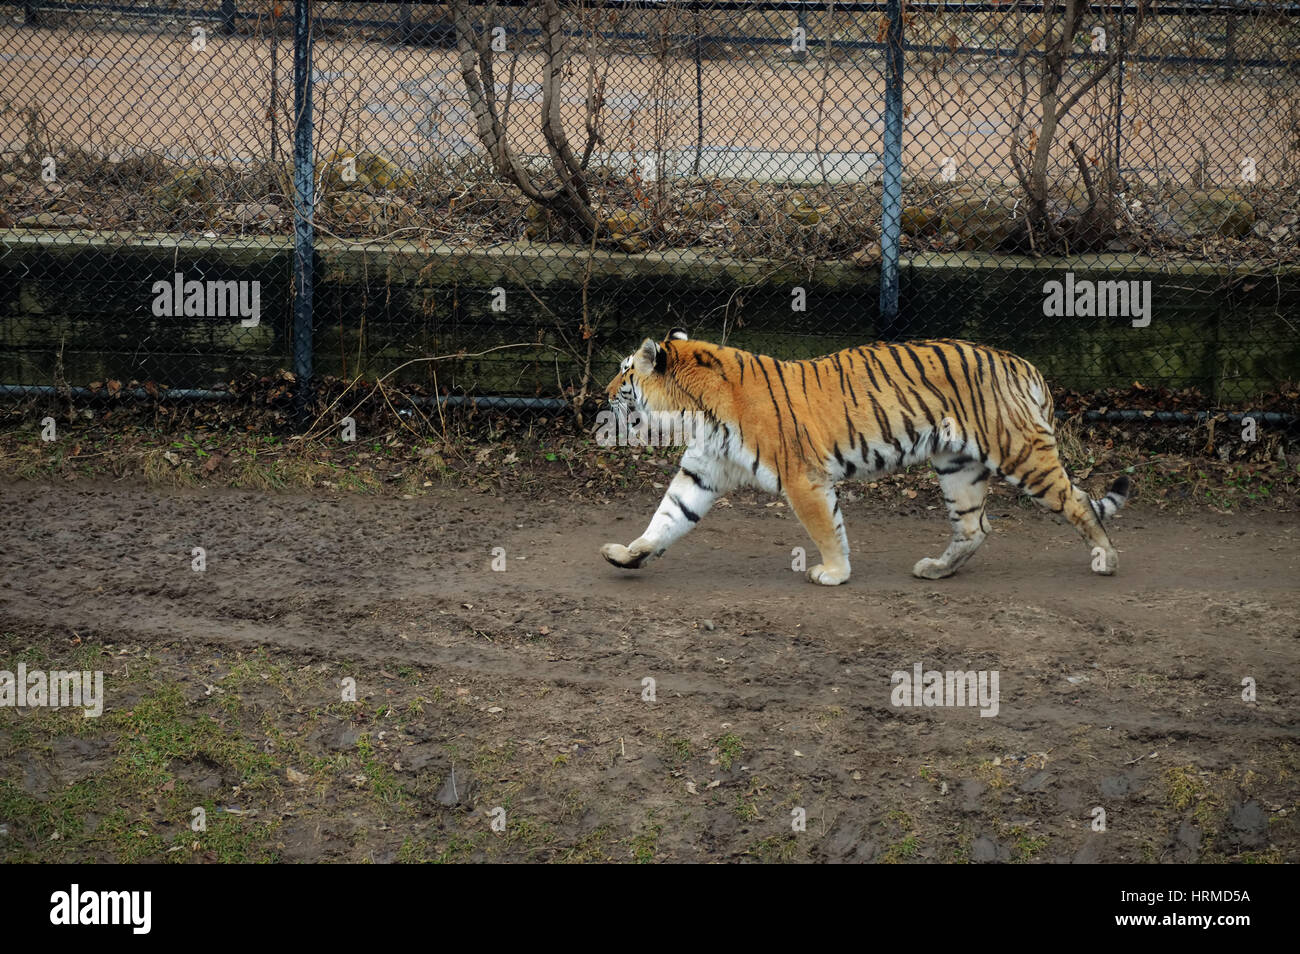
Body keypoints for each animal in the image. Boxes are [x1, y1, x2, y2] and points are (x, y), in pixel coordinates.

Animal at [600, 329, 1130, 585]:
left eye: (625, 372)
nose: (602, 394)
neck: (695, 413)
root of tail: (1026, 365)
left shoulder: (804, 478)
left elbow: (825, 529)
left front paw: (834, 574)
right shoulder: (702, 473)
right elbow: (667, 517)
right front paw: (627, 554)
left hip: (1019, 452)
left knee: (1079, 500)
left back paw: (1106, 559)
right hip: (958, 466)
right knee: (975, 527)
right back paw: (937, 569)